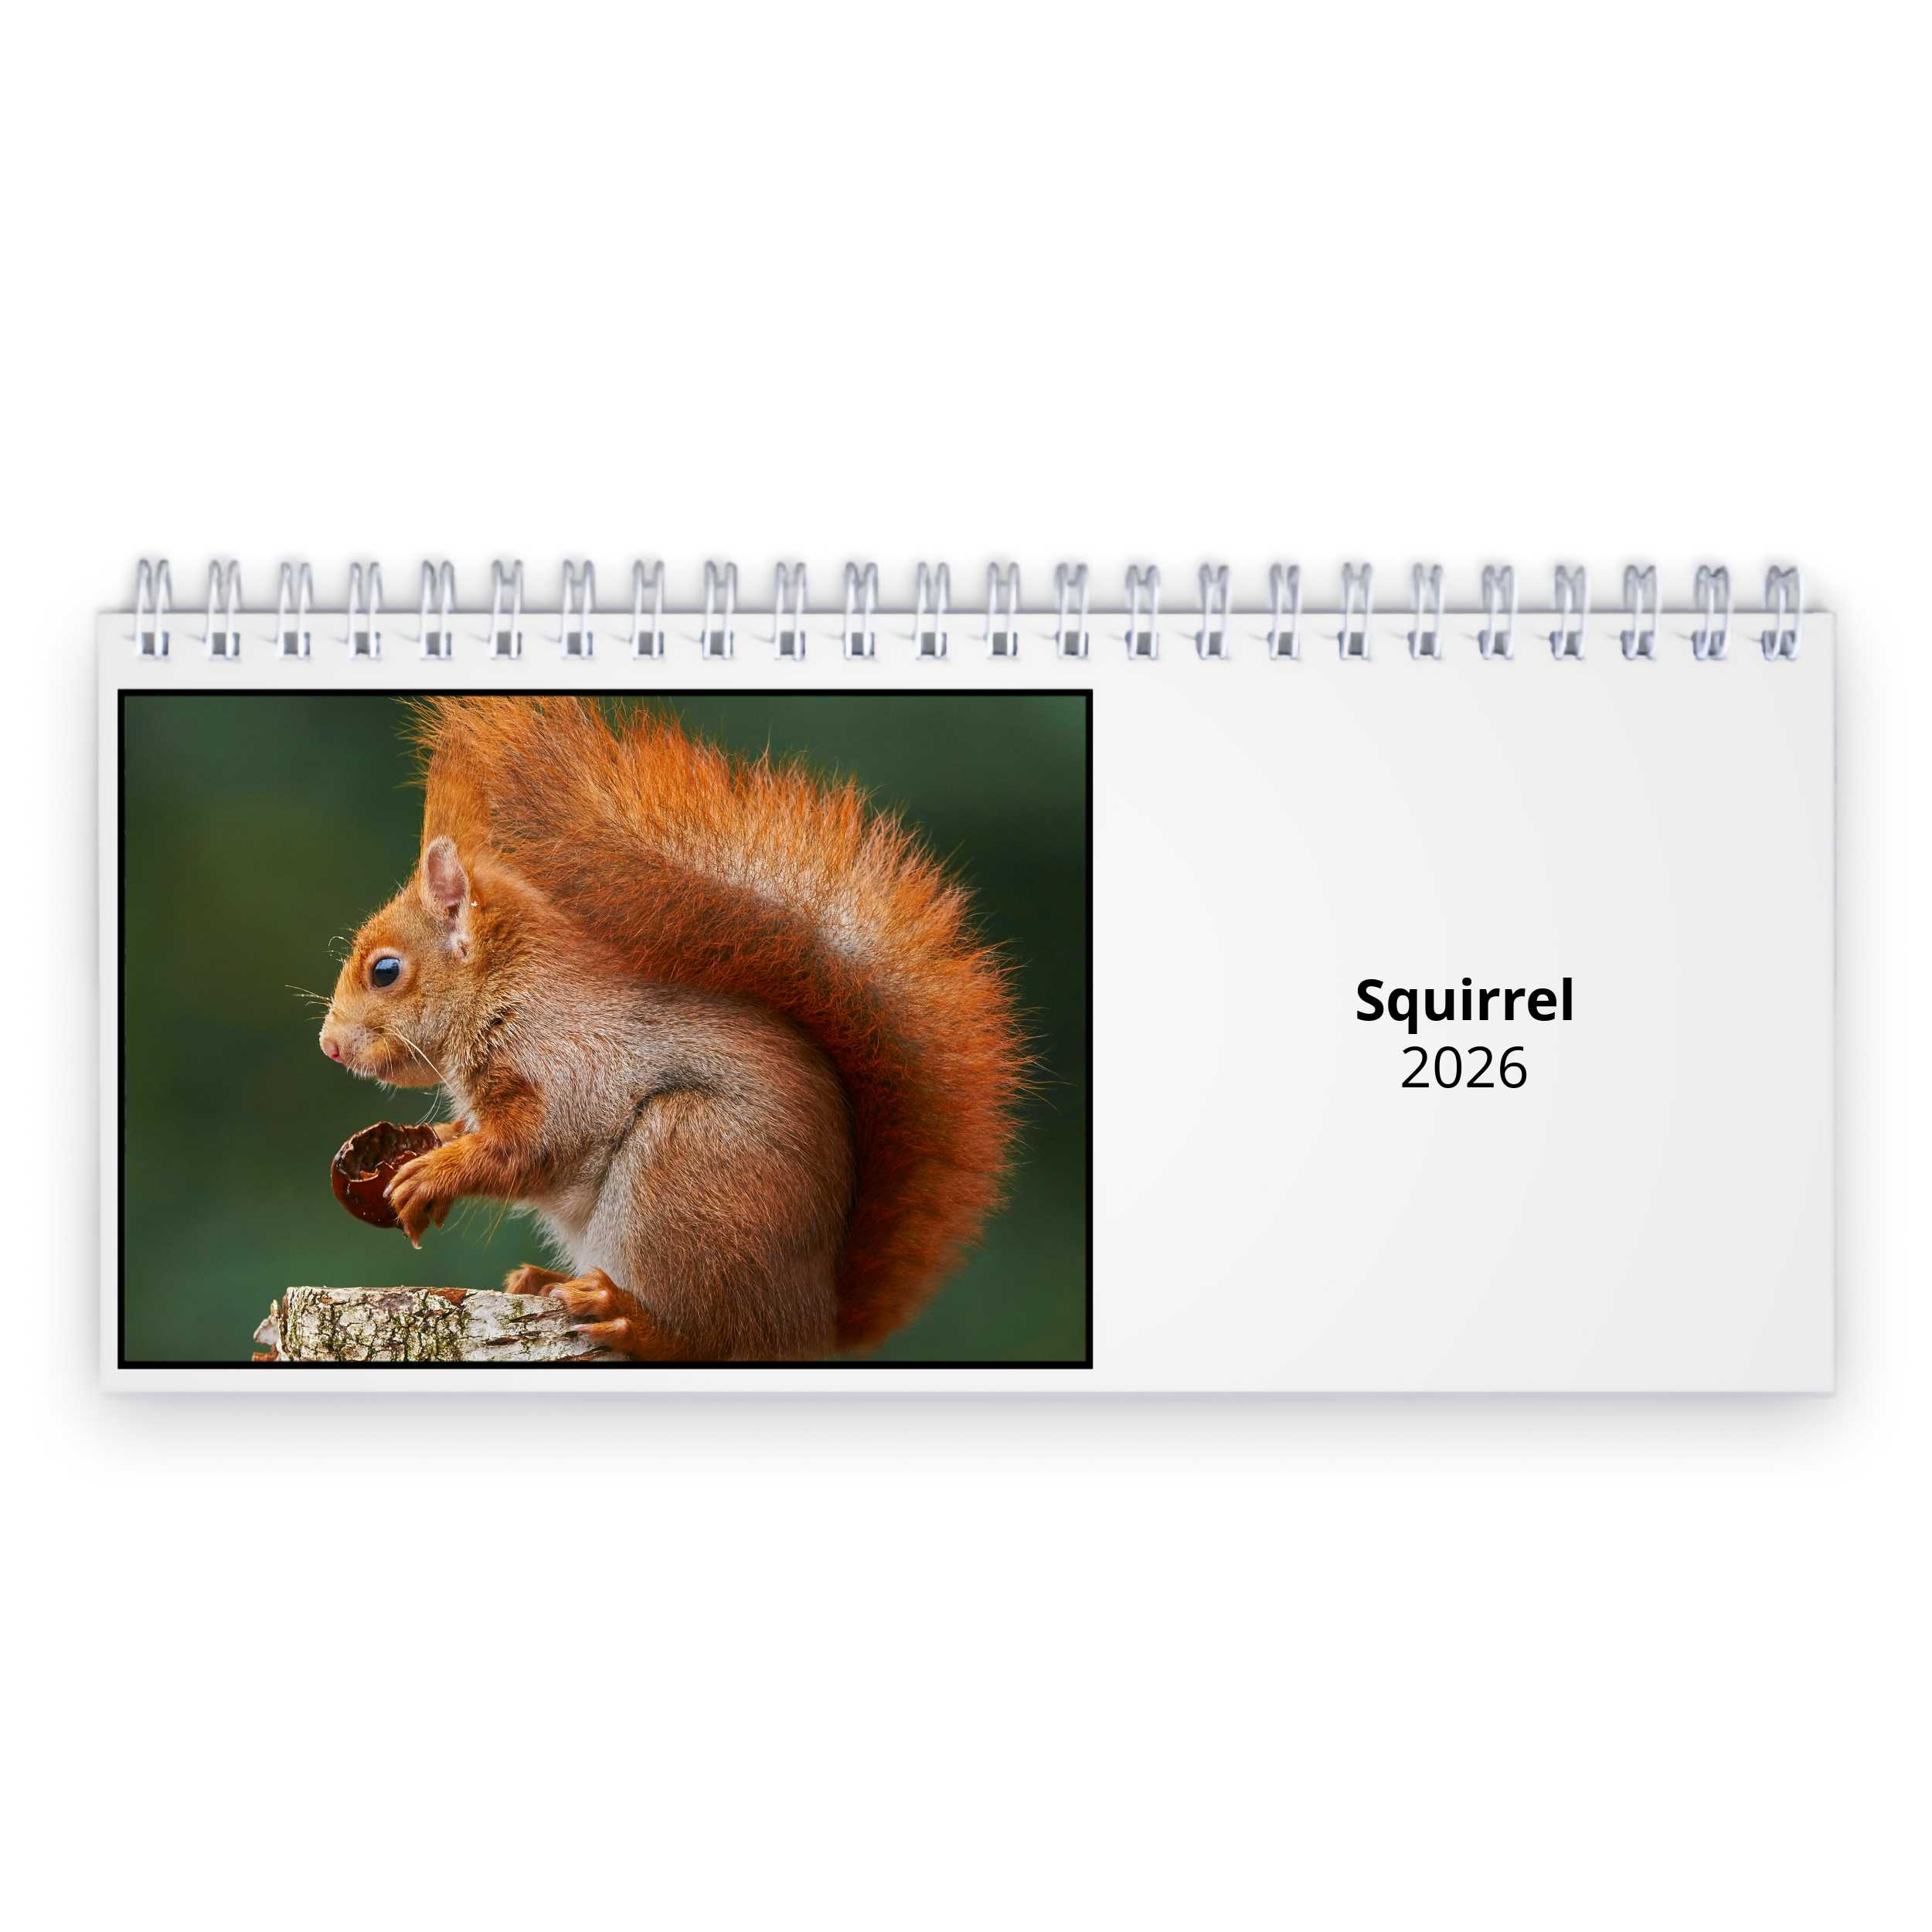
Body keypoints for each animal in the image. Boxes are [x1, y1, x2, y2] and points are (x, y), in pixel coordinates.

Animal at [318, 696, 1023, 1362]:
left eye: (386, 971)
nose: (328, 1046)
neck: (507, 987)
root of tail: (814, 1316)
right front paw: (430, 1148)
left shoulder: (567, 1059)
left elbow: (530, 1145)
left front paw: (433, 1174)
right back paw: (547, 1281)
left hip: (683, 1171)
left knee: (707, 1336)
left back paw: (631, 1319)